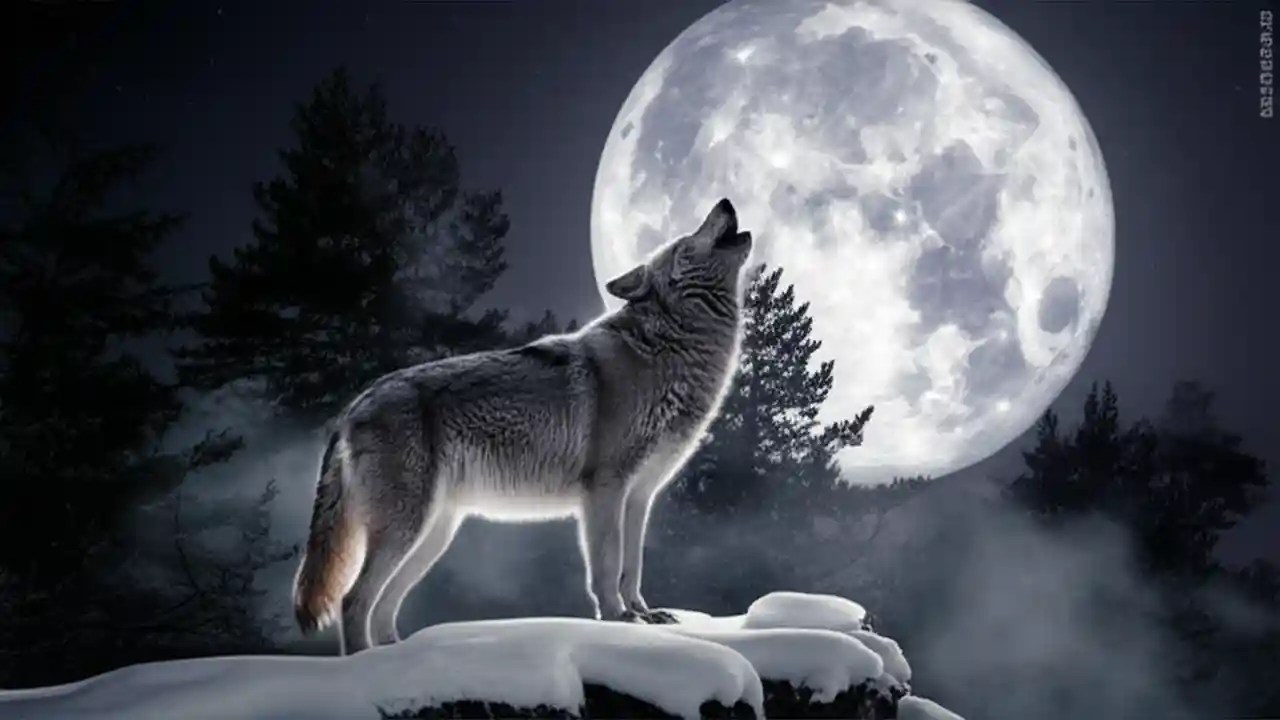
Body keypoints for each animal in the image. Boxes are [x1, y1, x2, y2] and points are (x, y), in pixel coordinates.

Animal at [292, 198, 753, 654]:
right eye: (686, 242)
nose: (726, 202)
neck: (667, 347)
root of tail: (356, 403)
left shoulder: (639, 497)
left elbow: (633, 566)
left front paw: (643, 613)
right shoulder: (605, 489)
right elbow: (606, 567)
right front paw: (617, 619)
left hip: (431, 537)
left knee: (384, 604)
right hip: (405, 530)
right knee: (353, 600)